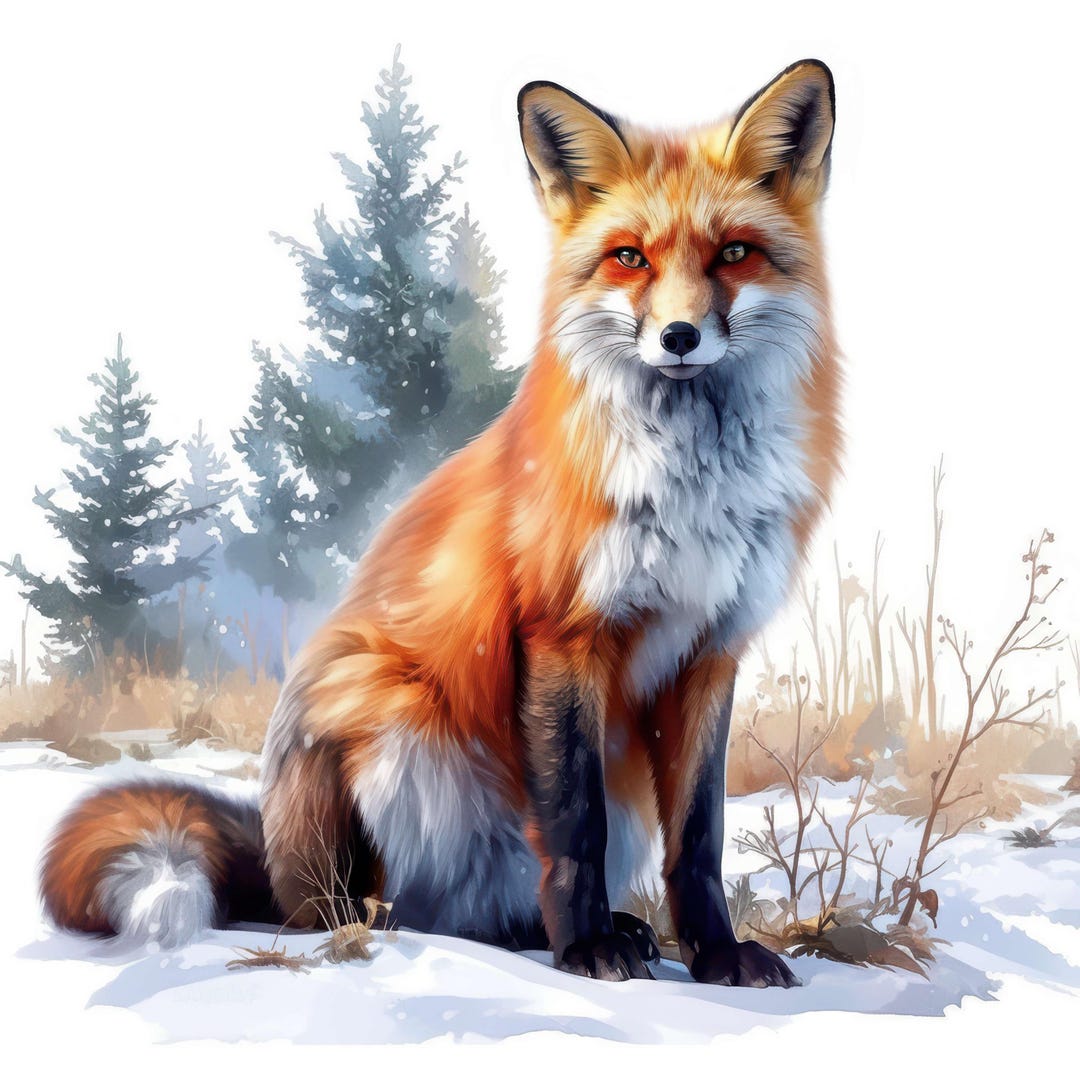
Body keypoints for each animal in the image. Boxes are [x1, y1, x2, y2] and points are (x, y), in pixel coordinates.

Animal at [40, 60, 840, 986]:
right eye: (629, 258)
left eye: (734, 253)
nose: (678, 336)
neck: (691, 488)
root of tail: (277, 861)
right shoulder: (562, 633)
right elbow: (574, 828)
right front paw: (587, 948)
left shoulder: (710, 651)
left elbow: (699, 839)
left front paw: (714, 954)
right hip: (385, 715)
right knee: (371, 908)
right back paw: (439, 935)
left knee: (486, 905)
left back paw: (548, 931)